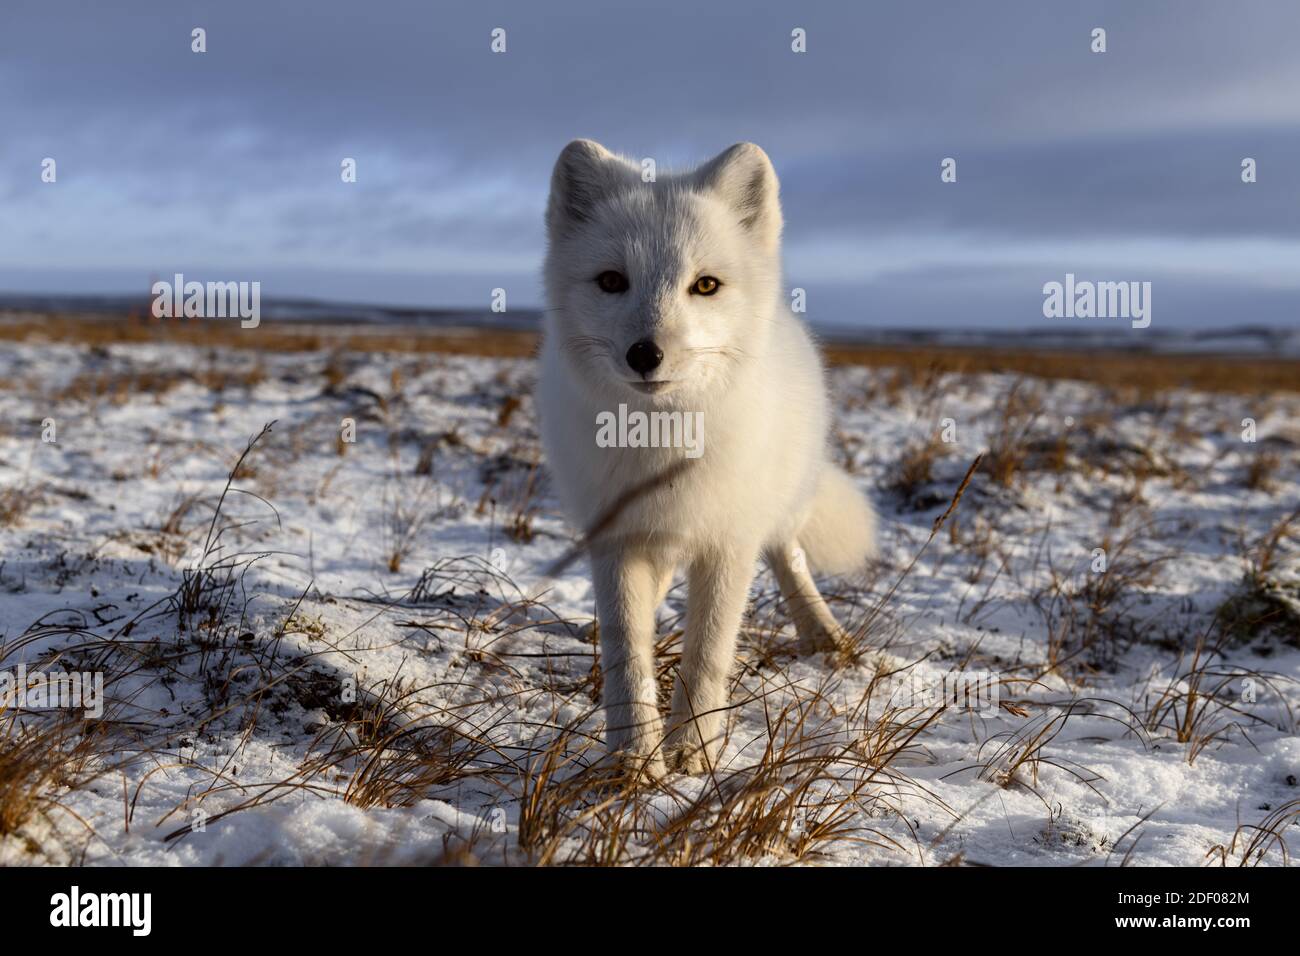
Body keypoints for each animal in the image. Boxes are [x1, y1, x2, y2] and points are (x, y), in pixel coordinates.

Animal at [537, 140, 877, 777]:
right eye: (612, 280)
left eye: (705, 285)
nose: (645, 354)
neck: (664, 437)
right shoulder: (614, 540)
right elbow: (626, 651)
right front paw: (632, 757)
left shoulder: (729, 544)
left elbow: (708, 651)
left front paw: (691, 749)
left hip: (779, 505)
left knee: (789, 556)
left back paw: (823, 634)